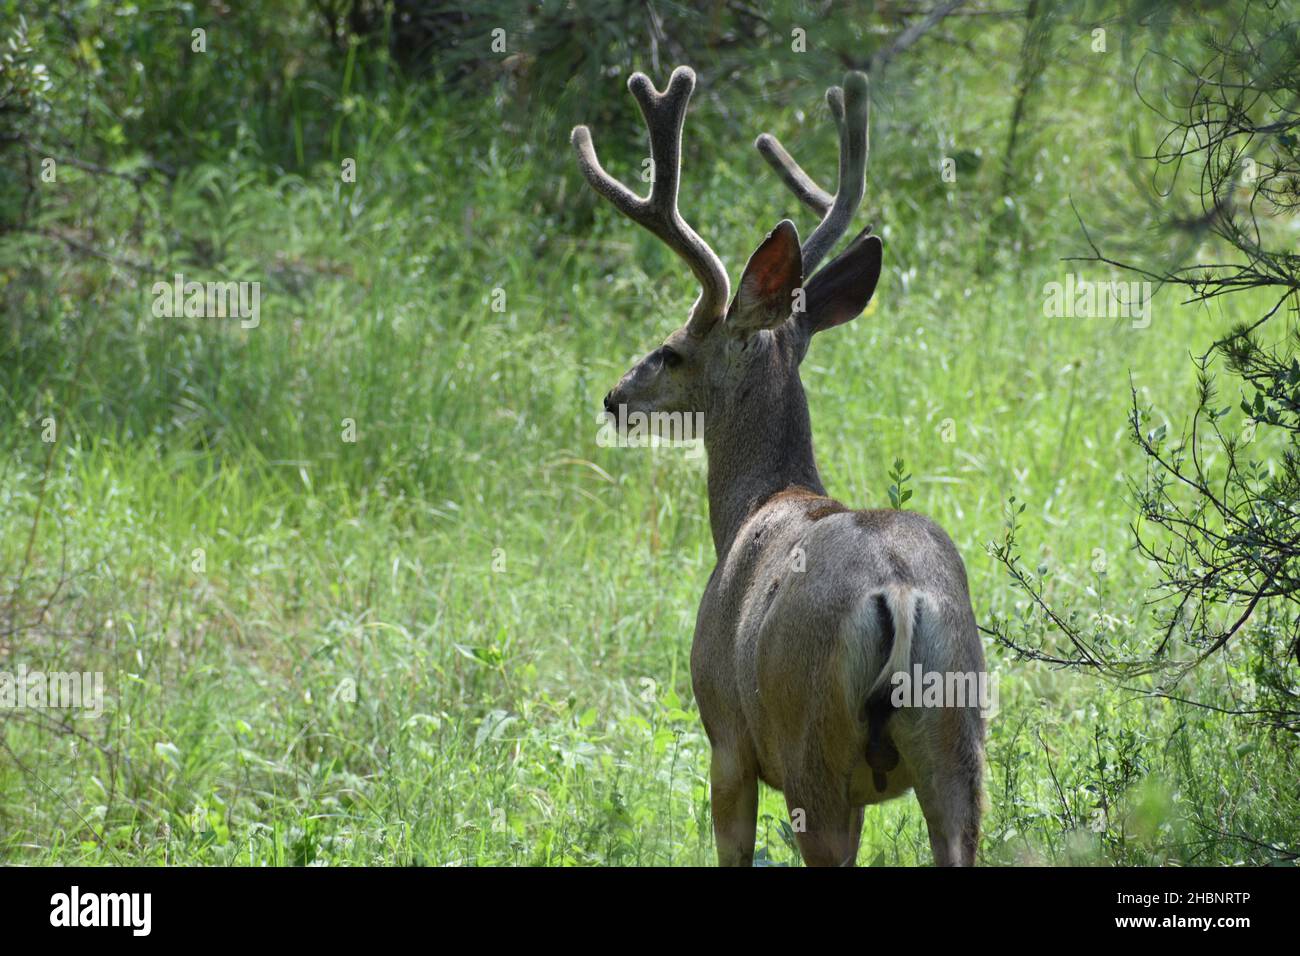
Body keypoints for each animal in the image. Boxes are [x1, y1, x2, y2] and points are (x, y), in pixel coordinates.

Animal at [572, 66, 986, 867]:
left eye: (672, 349)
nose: (614, 396)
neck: (756, 505)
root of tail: (901, 593)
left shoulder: (726, 736)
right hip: (957, 742)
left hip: (809, 746)